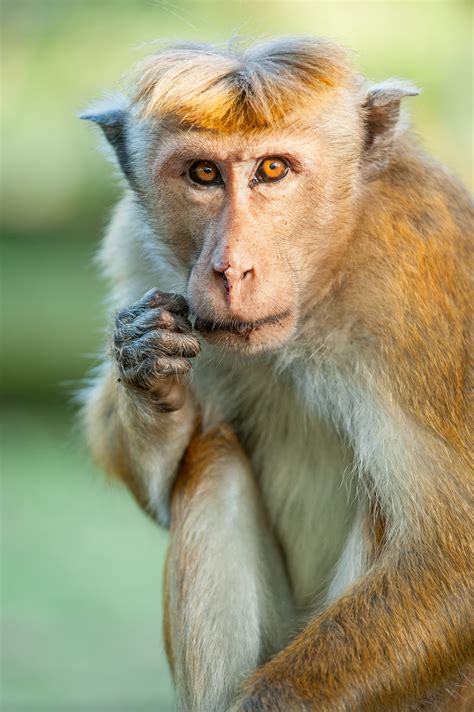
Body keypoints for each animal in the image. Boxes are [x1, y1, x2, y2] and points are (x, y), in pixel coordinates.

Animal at [81, 37, 473, 711]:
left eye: (272, 170)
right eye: (203, 174)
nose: (231, 268)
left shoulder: (422, 294)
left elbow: (454, 548)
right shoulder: (136, 250)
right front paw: (147, 372)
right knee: (212, 461)